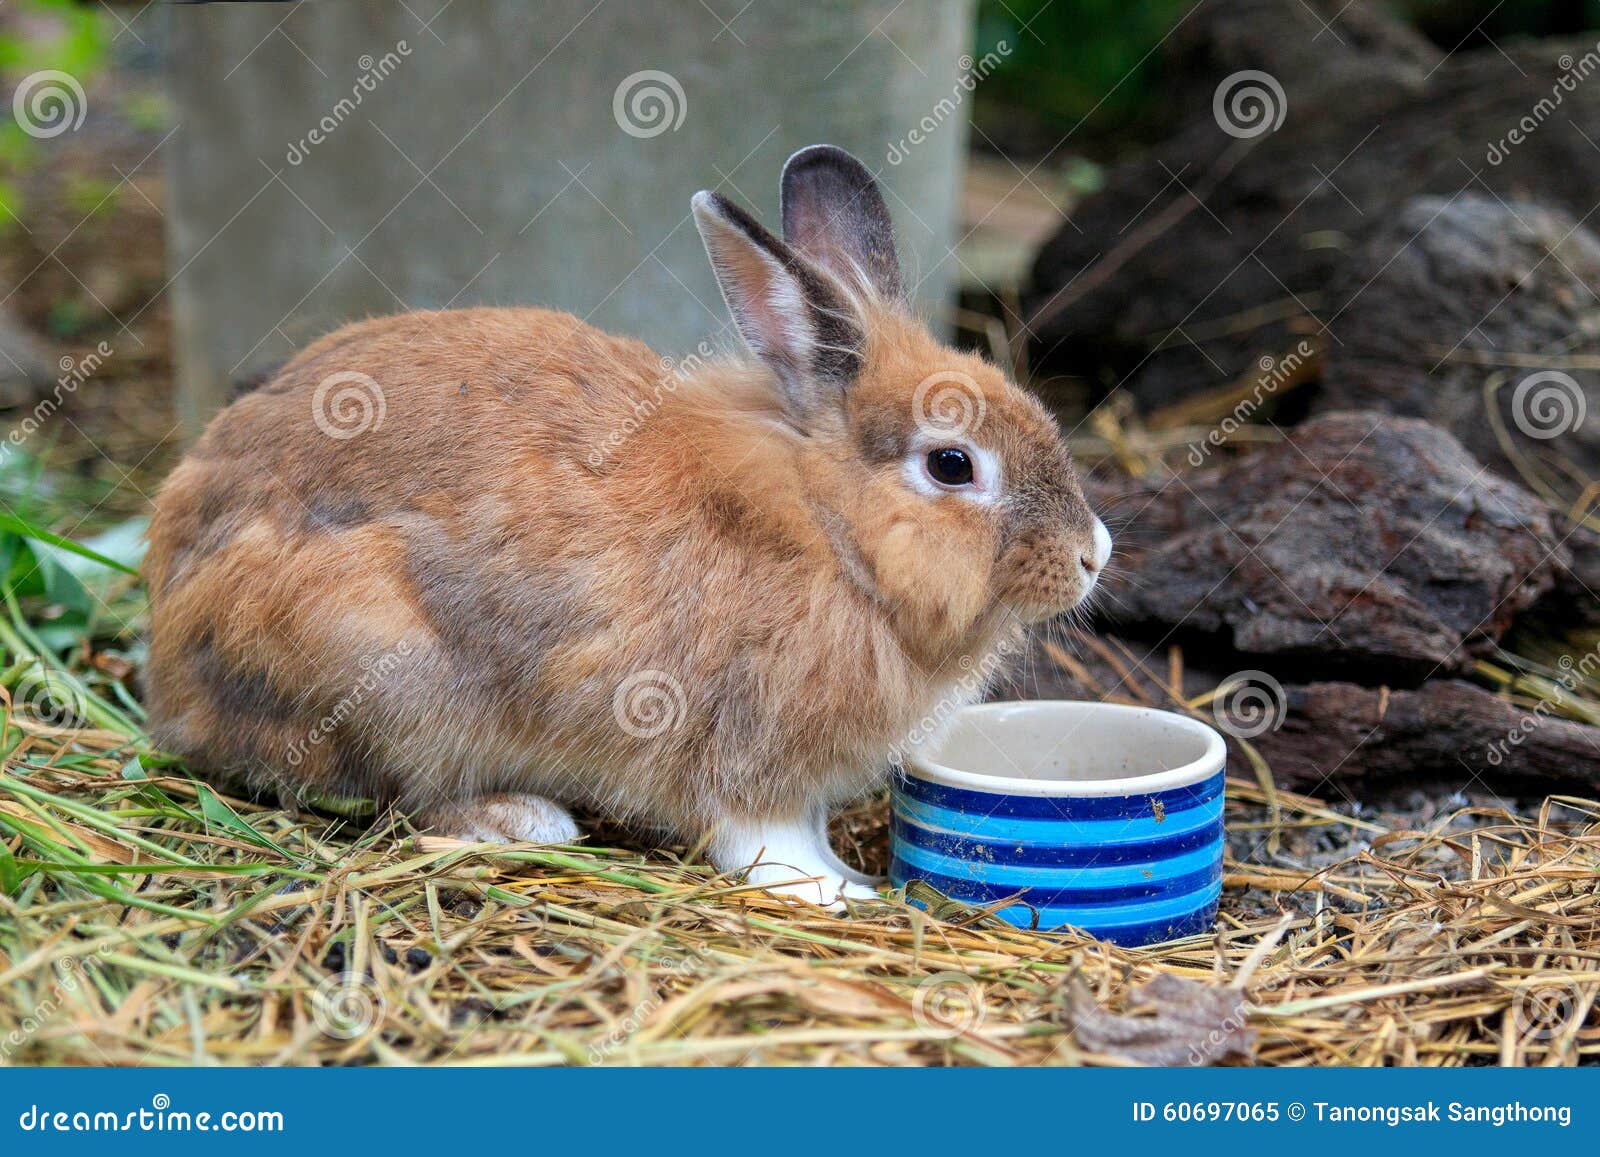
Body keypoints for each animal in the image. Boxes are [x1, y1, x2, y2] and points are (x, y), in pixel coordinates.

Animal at [142, 144, 1111, 905]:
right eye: (951, 464)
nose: (1093, 554)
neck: (828, 527)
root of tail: (169, 650)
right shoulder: (739, 748)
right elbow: (763, 835)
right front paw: (831, 891)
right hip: (384, 673)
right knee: (397, 795)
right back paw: (524, 818)